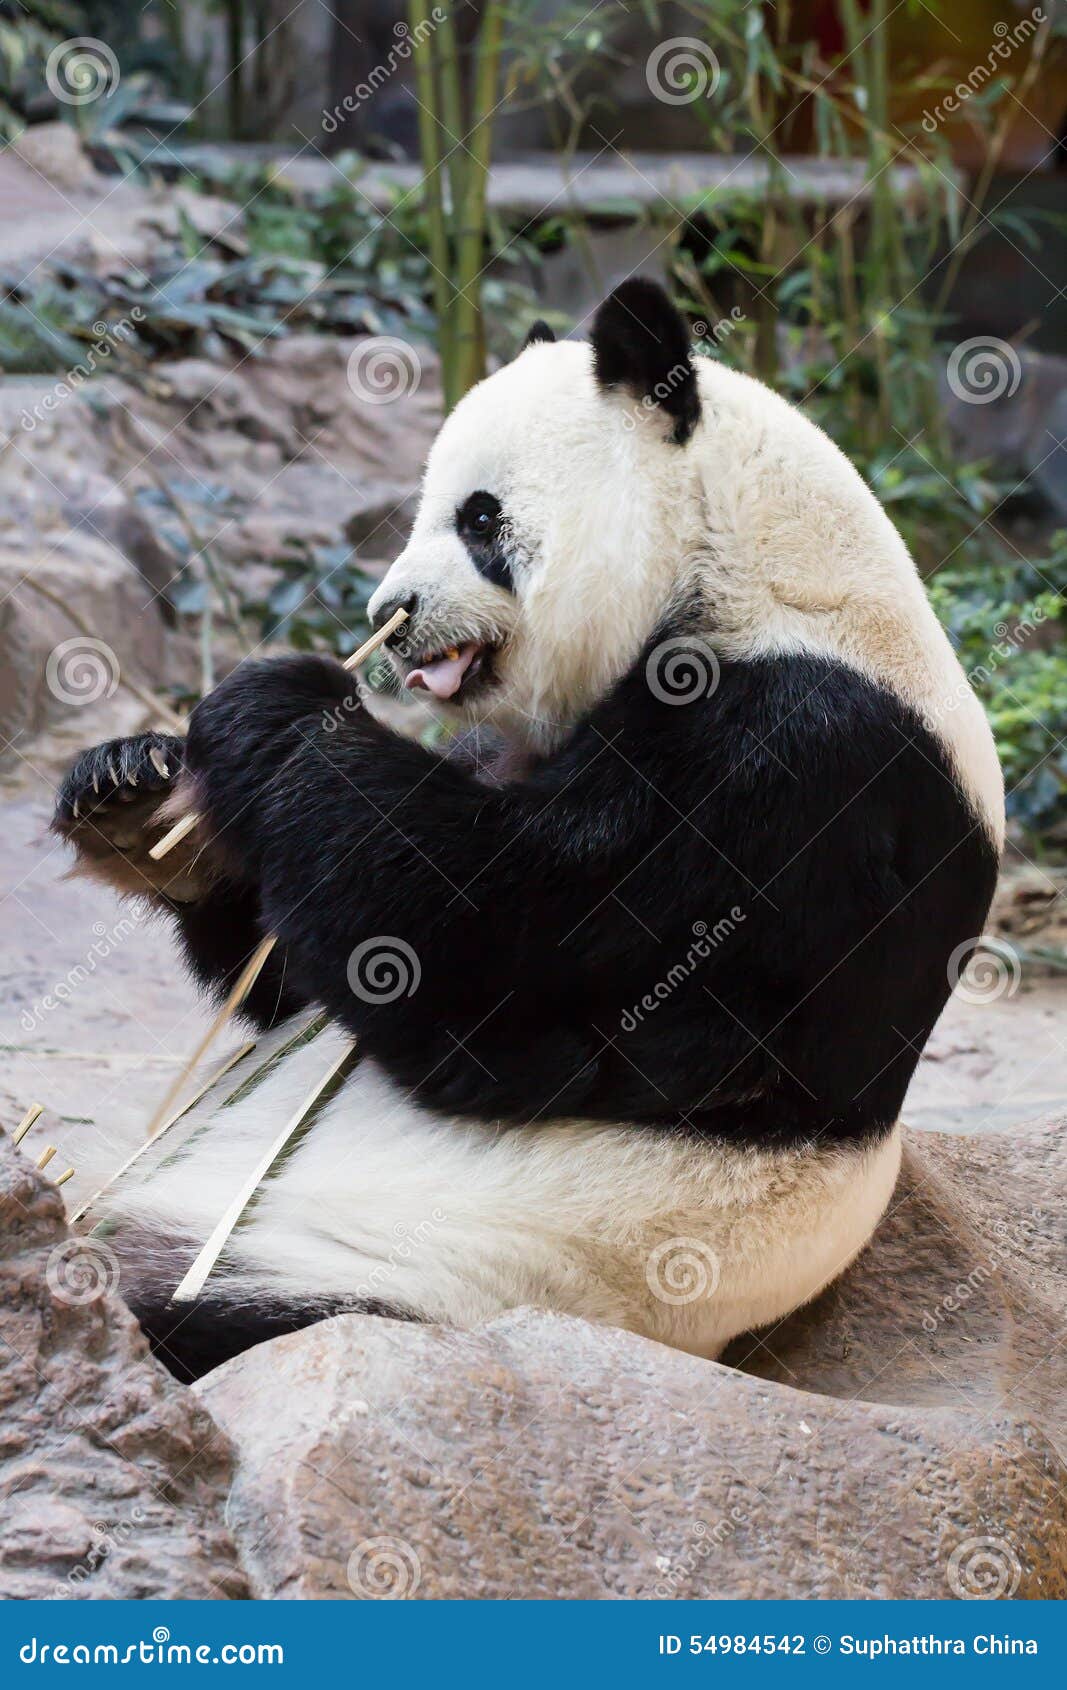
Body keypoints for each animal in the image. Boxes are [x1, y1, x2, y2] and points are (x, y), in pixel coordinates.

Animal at [53, 279, 1004, 1384]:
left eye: (479, 516)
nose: (389, 611)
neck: (749, 564)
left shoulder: (800, 773)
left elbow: (508, 963)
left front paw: (280, 709)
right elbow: (295, 977)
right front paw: (135, 794)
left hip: (400, 1267)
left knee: (190, 1314)